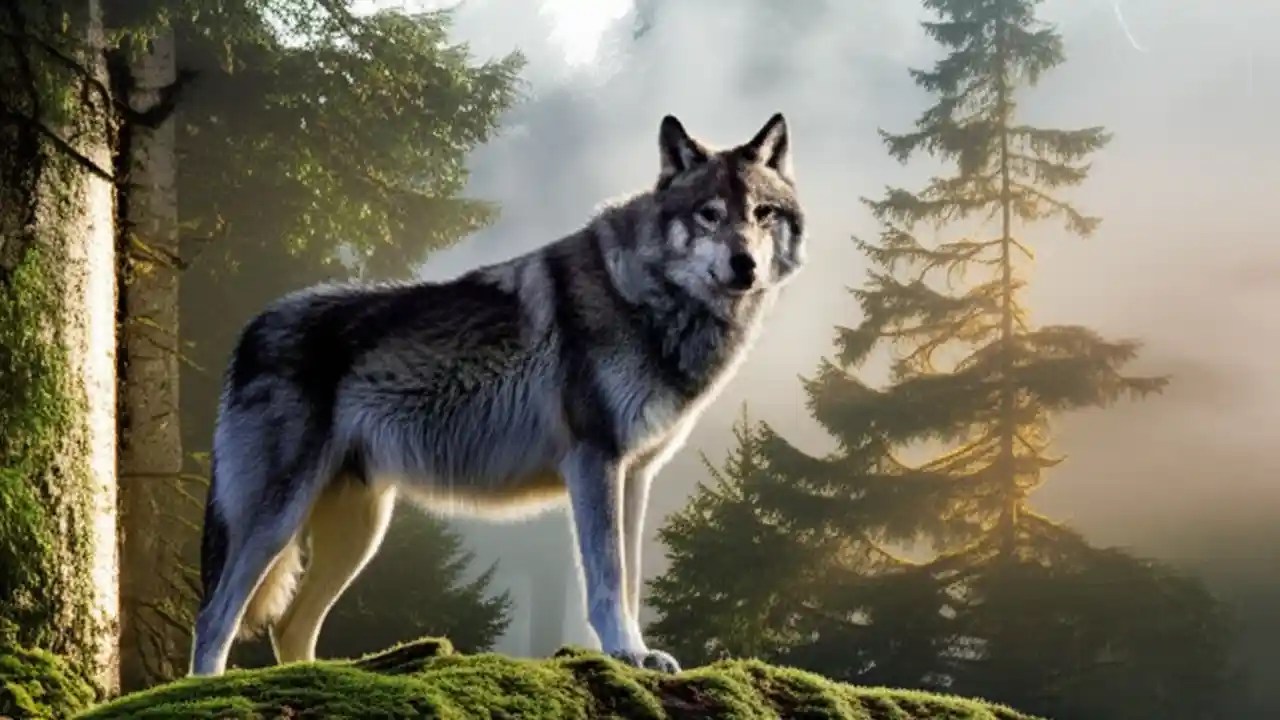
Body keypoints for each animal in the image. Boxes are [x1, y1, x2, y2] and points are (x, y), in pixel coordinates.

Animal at [189, 112, 807, 677]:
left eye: (762, 214)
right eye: (710, 214)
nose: (745, 265)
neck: (645, 296)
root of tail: (251, 328)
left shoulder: (634, 476)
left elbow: (629, 580)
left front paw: (640, 655)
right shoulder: (595, 463)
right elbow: (607, 581)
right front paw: (625, 654)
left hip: (360, 531)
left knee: (290, 628)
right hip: (275, 520)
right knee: (214, 618)